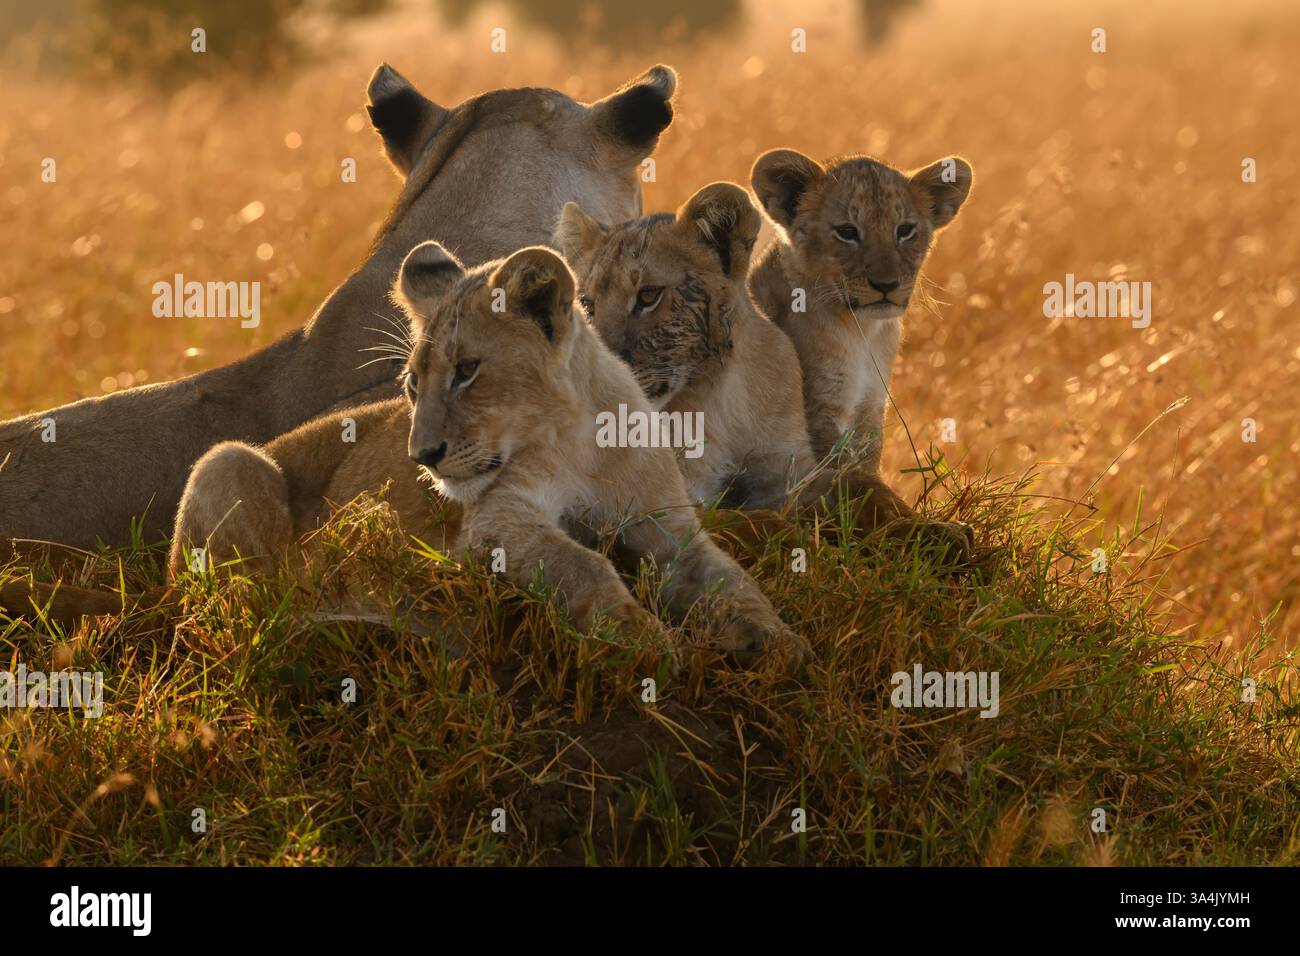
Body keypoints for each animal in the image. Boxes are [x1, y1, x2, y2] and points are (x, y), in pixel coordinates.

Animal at [167, 242, 808, 665]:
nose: (422, 455)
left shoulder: (670, 526)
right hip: (229, 462)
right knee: (246, 607)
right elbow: (585, 565)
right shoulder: (496, 521)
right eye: (412, 384)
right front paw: (650, 643)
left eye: (467, 370)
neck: (582, 441)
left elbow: (729, 580)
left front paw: (781, 645)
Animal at [747, 148, 975, 535]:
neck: (862, 333)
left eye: (905, 230)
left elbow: (866, 470)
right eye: (847, 232)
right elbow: (859, 484)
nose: (886, 284)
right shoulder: (815, 414)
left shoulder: (870, 406)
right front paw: (928, 530)